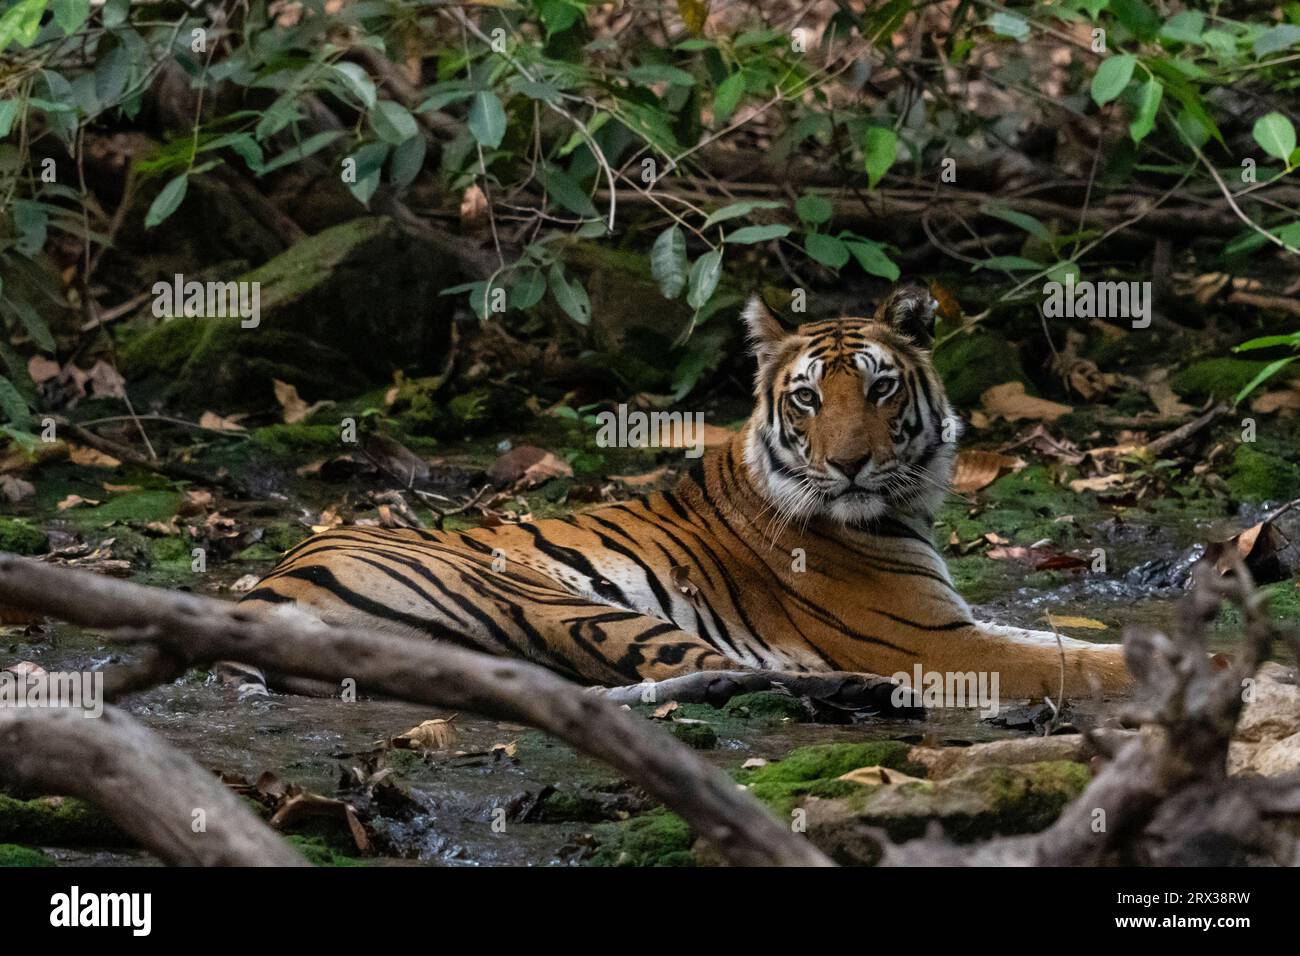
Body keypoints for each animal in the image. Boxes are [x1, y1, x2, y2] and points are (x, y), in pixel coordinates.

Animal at [241, 282, 1130, 700]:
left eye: (879, 390)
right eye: (808, 398)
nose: (848, 465)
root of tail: (266, 584)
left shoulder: (956, 620)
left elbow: (1055, 639)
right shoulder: (932, 642)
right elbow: (1070, 663)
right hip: (555, 600)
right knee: (696, 673)